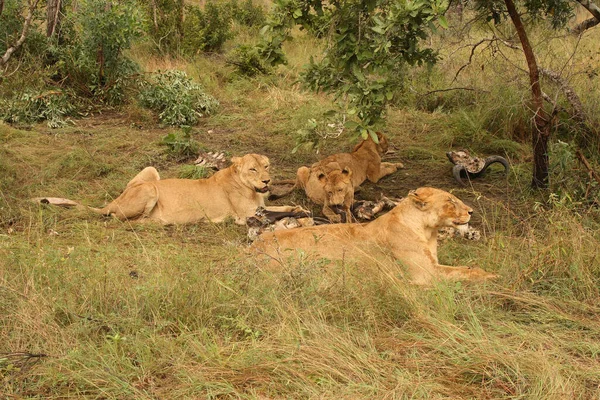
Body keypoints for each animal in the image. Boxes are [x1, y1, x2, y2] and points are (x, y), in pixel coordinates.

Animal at [33, 153, 304, 225]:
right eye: (253, 170)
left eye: (266, 166)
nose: (267, 181)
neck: (251, 190)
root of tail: (112, 201)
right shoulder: (245, 216)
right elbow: (276, 212)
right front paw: (300, 213)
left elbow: (284, 205)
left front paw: (299, 209)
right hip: (149, 190)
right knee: (126, 220)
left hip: (151, 172)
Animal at [248, 188, 496, 284]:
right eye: (450, 201)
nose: (471, 212)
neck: (428, 231)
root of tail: (250, 249)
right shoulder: (426, 274)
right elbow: (463, 272)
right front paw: (492, 276)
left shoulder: (433, 265)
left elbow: (465, 268)